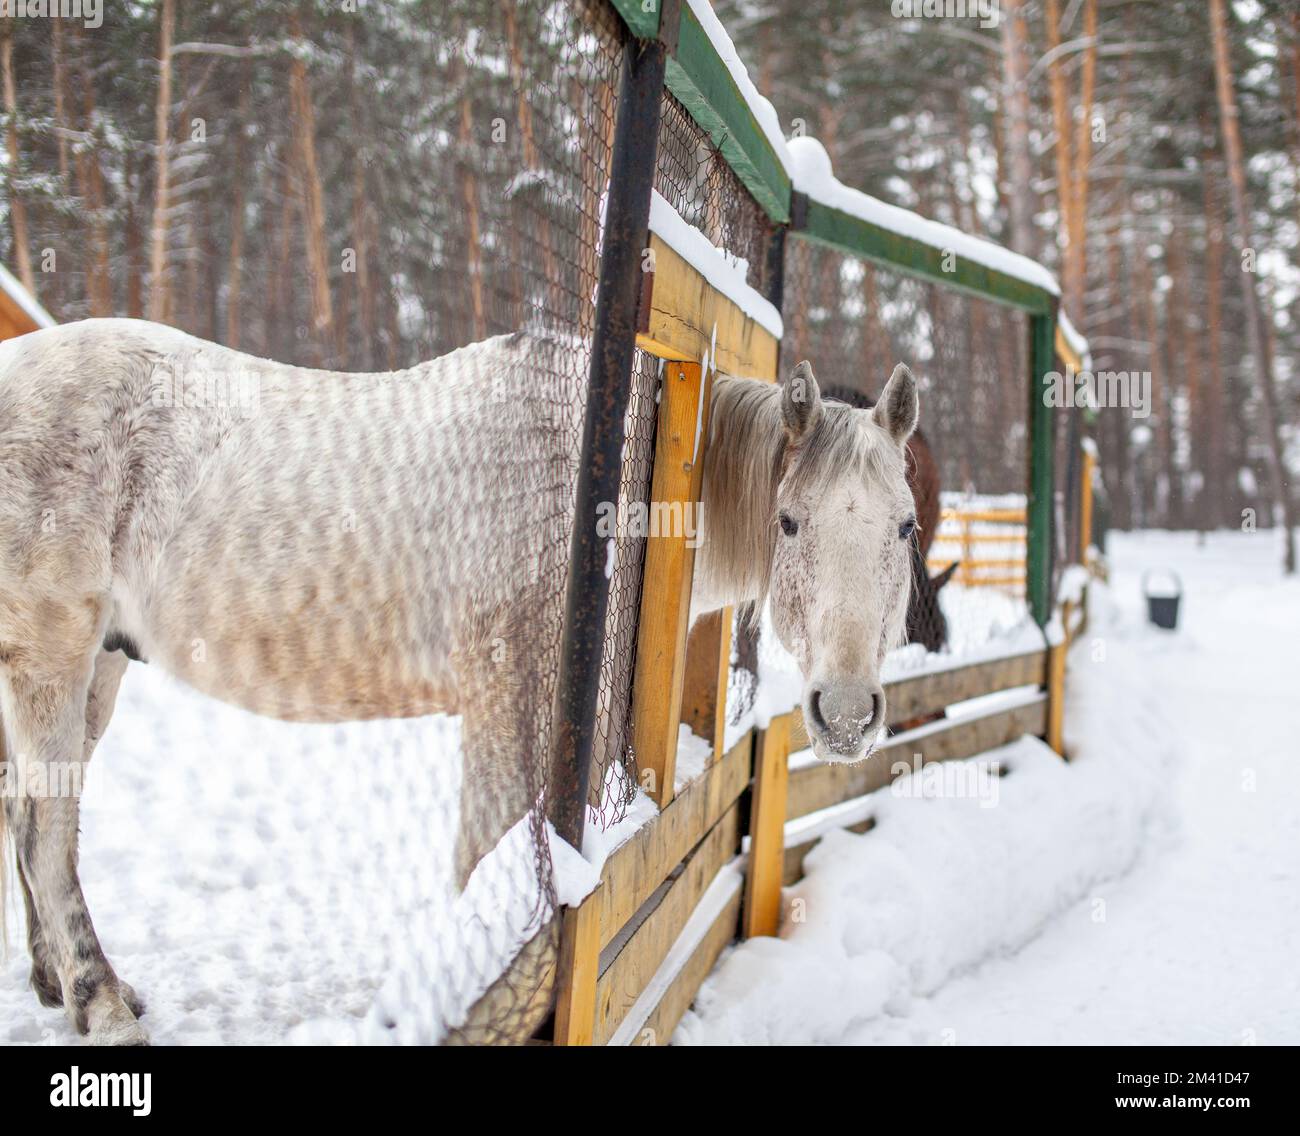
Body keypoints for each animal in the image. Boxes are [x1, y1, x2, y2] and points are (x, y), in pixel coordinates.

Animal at [0, 318, 919, 1044]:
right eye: (788, 522)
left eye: (905, 527)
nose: (845, 713)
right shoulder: (506, 700)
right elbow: (486, 861)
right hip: (53, 657)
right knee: (46, 828)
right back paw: (100, 1002)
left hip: (98, 666)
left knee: (31, 814)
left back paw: (57, 984)